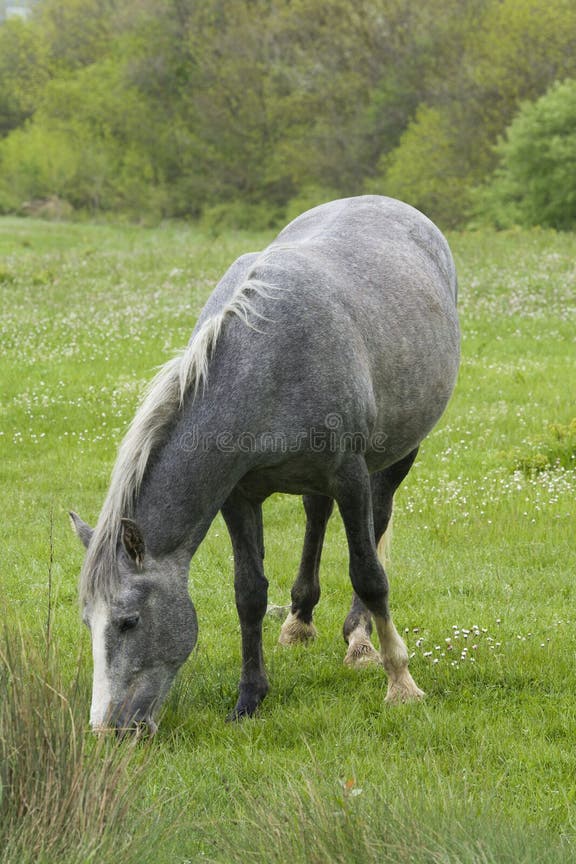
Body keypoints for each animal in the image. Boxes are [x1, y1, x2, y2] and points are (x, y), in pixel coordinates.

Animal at [71, 195, 460, 734]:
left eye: (129, 621)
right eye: (88, 622)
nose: (107, 730)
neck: (267, 364)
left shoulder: (350, 476)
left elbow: (368, 573)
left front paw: (401, 683)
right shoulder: (239, 495)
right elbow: (249, 593)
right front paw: (250, 697)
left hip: (398, 456)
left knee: (375, 525)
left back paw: (360, 640)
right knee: (316, 517)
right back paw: (299, 621)